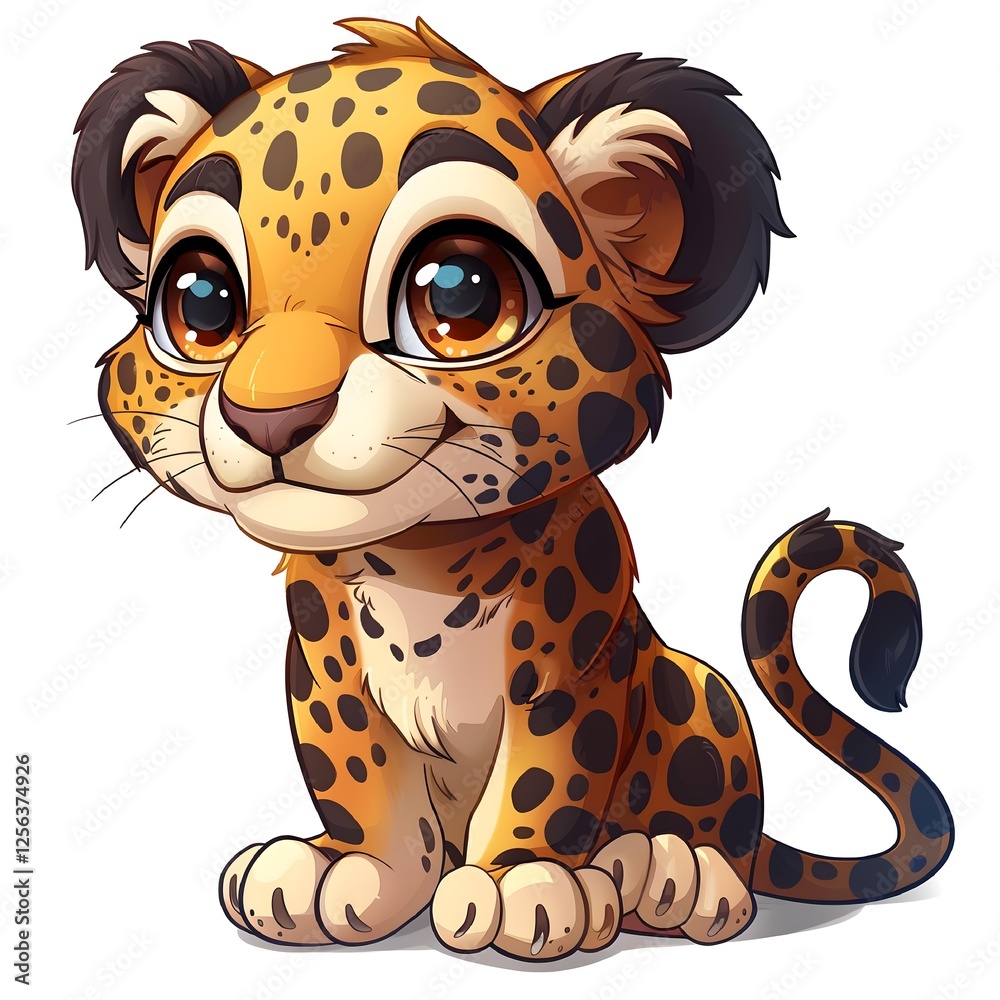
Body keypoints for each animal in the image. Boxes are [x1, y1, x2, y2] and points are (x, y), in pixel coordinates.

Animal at [71, 18, 953, 960]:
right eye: (201, 299)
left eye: (459, 291)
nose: (271, 414)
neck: (415, 563)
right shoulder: (322, 671)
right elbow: (356, 777)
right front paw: (347, 873)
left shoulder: (571, 673)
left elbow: (546, 780)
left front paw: (515, 885)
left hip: (702, 690)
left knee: (725, 826)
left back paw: (675, 873)